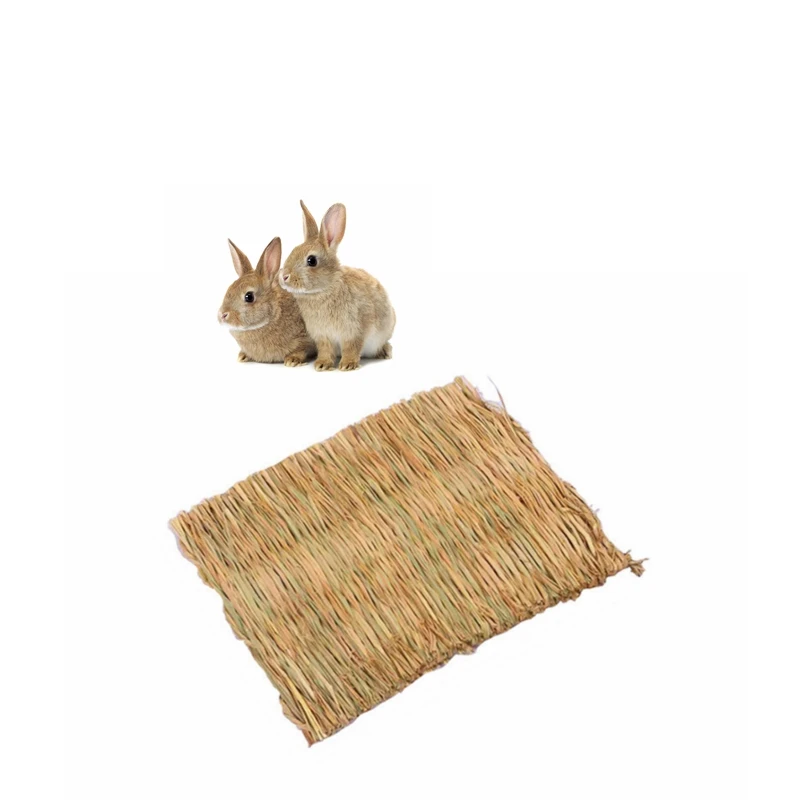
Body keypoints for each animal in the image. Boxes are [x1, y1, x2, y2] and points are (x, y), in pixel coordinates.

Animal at [218, 236, 316, 366]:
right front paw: (242, 356)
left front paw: (292, 360)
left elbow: (302, 349)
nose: (222, 315)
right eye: (228, 289)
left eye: (249, 296)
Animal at [279, 200, 395, 371]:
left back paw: (385, 352)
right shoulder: (323, 336)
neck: (324, 289)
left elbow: (351, 348)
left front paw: (348, 364)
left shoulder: (354, 331)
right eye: (293, 251)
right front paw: (322, 364)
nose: (284, 276)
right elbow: (326, 350)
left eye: (311, 260)